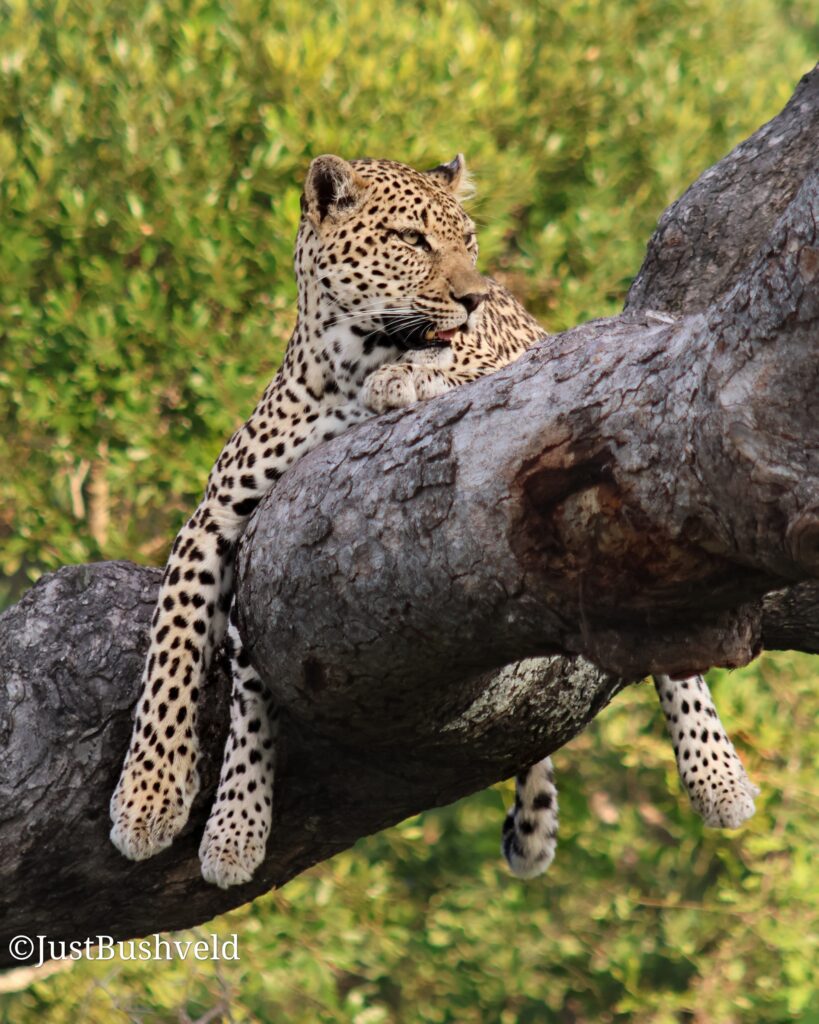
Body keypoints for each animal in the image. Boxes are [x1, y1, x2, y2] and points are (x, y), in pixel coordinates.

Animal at [110, 154, 759, 890]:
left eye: (467, 242)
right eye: (413, 240)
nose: (475, 297)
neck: (349, 361)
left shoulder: (516, 370)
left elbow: (454, 367)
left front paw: (406, 376)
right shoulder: (216, 514)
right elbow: (172, 650)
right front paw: (149, 798)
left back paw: (716, 774)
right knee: (249, 686)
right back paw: (234, 827)